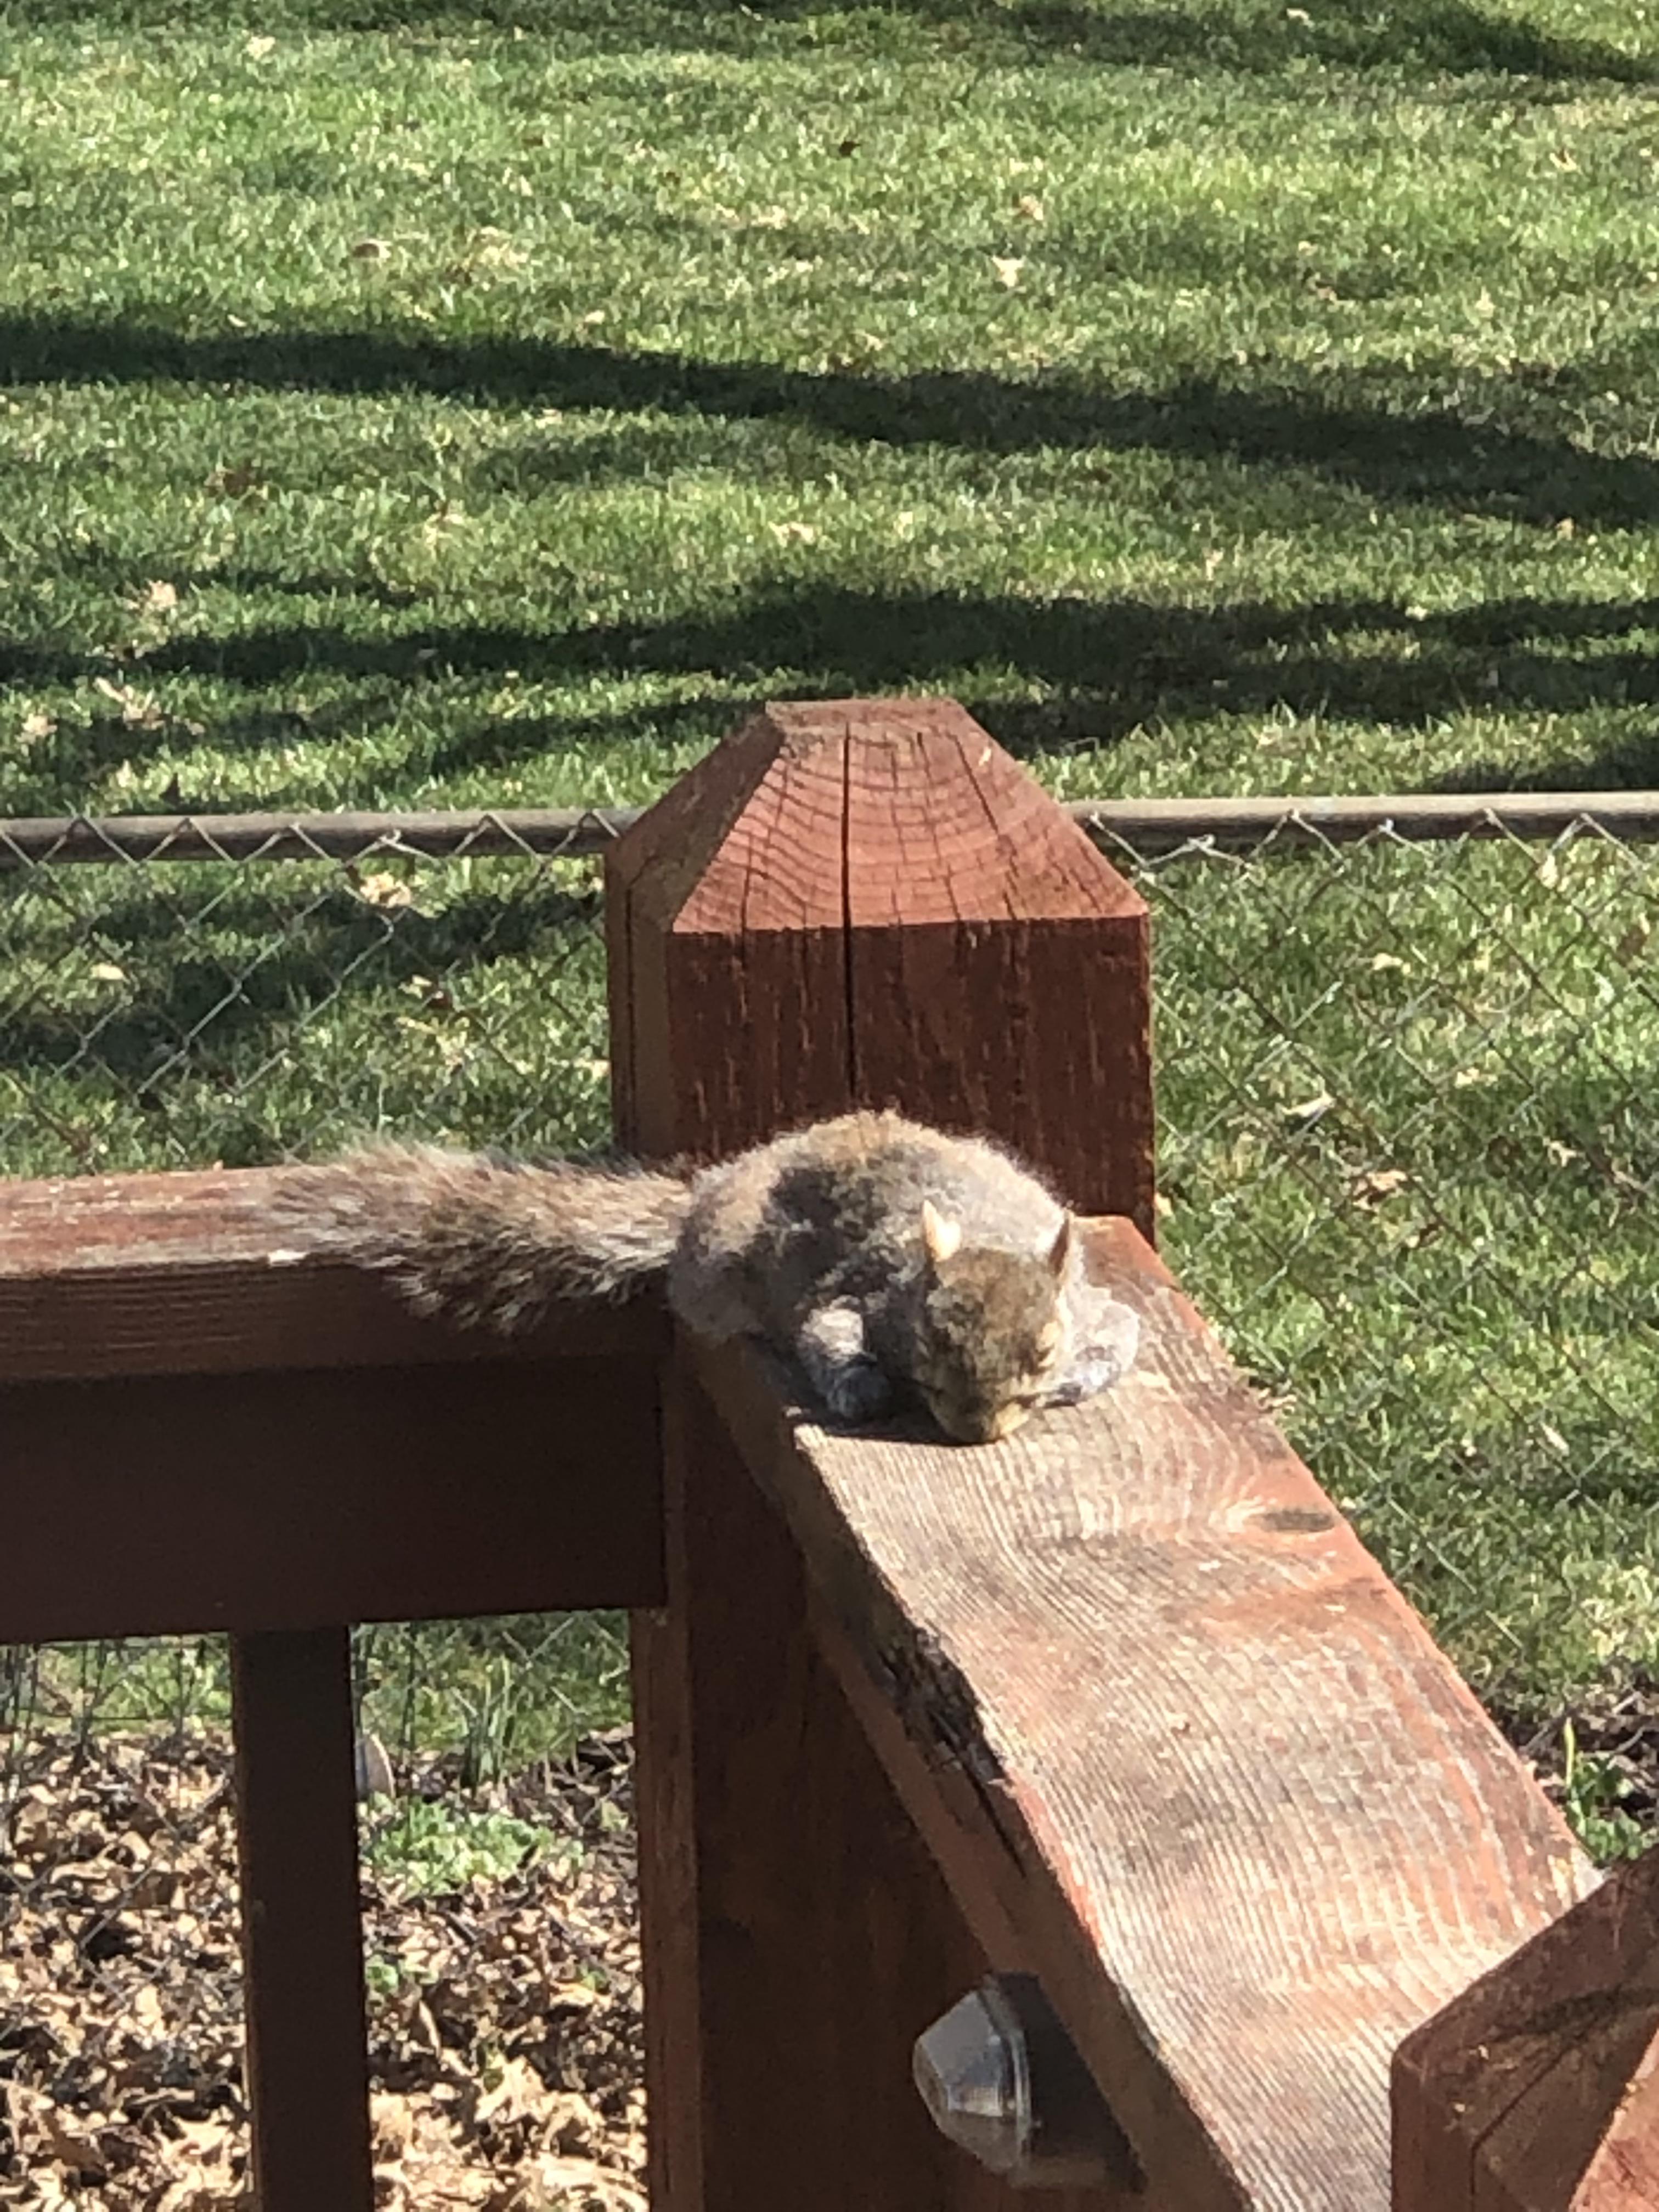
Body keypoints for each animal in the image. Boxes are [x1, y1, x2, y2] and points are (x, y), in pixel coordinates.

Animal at [277, 1109, 1139, 1445]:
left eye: (1043, 1348)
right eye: (930, 1338)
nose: (974, 1429)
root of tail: (705, 1195)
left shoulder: (1093, 1306)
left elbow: (1124, 1331)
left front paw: (1076, 1381)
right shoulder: (855, 1293)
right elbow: (828, 1337)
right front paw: (861, 1388)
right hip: (723, 1270)